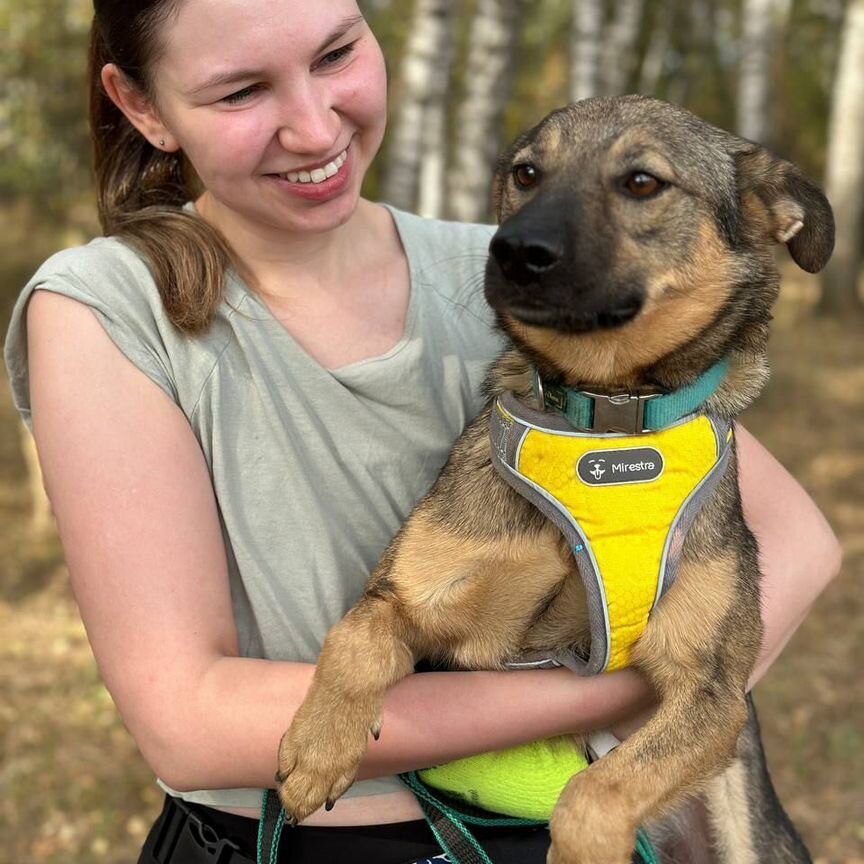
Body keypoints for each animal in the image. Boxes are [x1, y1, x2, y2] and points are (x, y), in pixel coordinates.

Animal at [276, 96, 832, 864]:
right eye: (527, 173)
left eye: (642, 182)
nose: (512, 250)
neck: (603, 421)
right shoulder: (419, 604)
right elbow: (356, 638)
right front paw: (318, 746)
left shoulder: (714, 692)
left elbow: (596, 794)